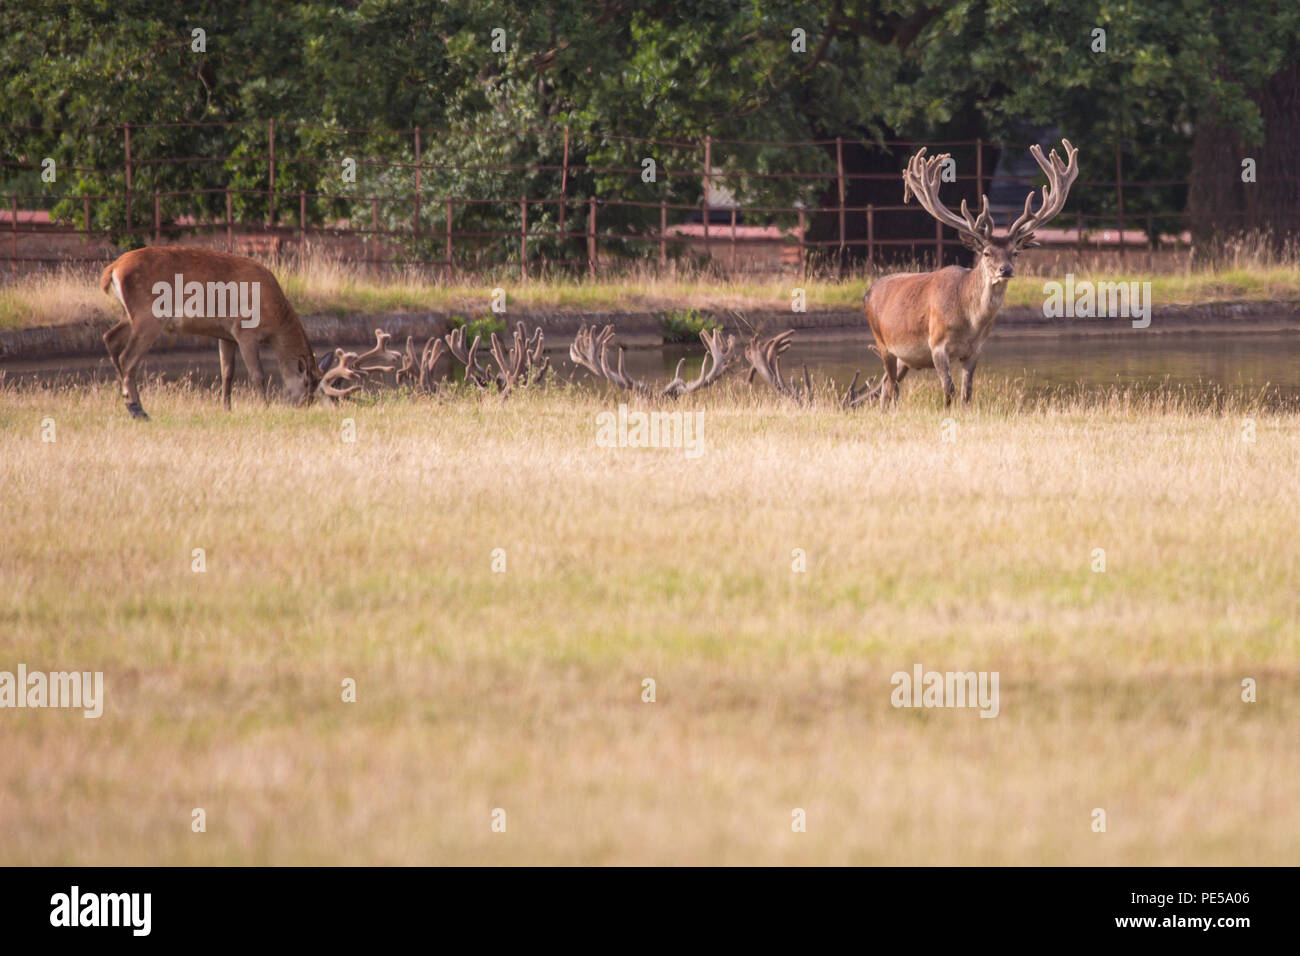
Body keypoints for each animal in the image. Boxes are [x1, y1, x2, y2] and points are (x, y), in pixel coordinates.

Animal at [98, 246, 380, 418]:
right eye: (308, 387)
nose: (301, 407)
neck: (275, 320)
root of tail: (113, 269)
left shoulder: (225, 334)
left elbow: (227, 373)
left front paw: (226, 409)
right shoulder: (245, 330)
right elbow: (258, 375)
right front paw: (264, 407)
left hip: (129, 314)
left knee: (110, 339)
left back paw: (124, 399)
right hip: (149, 315)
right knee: (128, 357)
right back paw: (137, 409)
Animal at [859, 139, 1079, 408]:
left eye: (1015, 252)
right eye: (986, 252)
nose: (1005, 269)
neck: (970, 322)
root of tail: (868, 292)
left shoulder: (975, 351)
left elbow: (967, 392)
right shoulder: (936, 344)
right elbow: (948, 389)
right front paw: (946, 410)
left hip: (902, 358)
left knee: (887, 387)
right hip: (883, 343)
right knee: (889, 387)